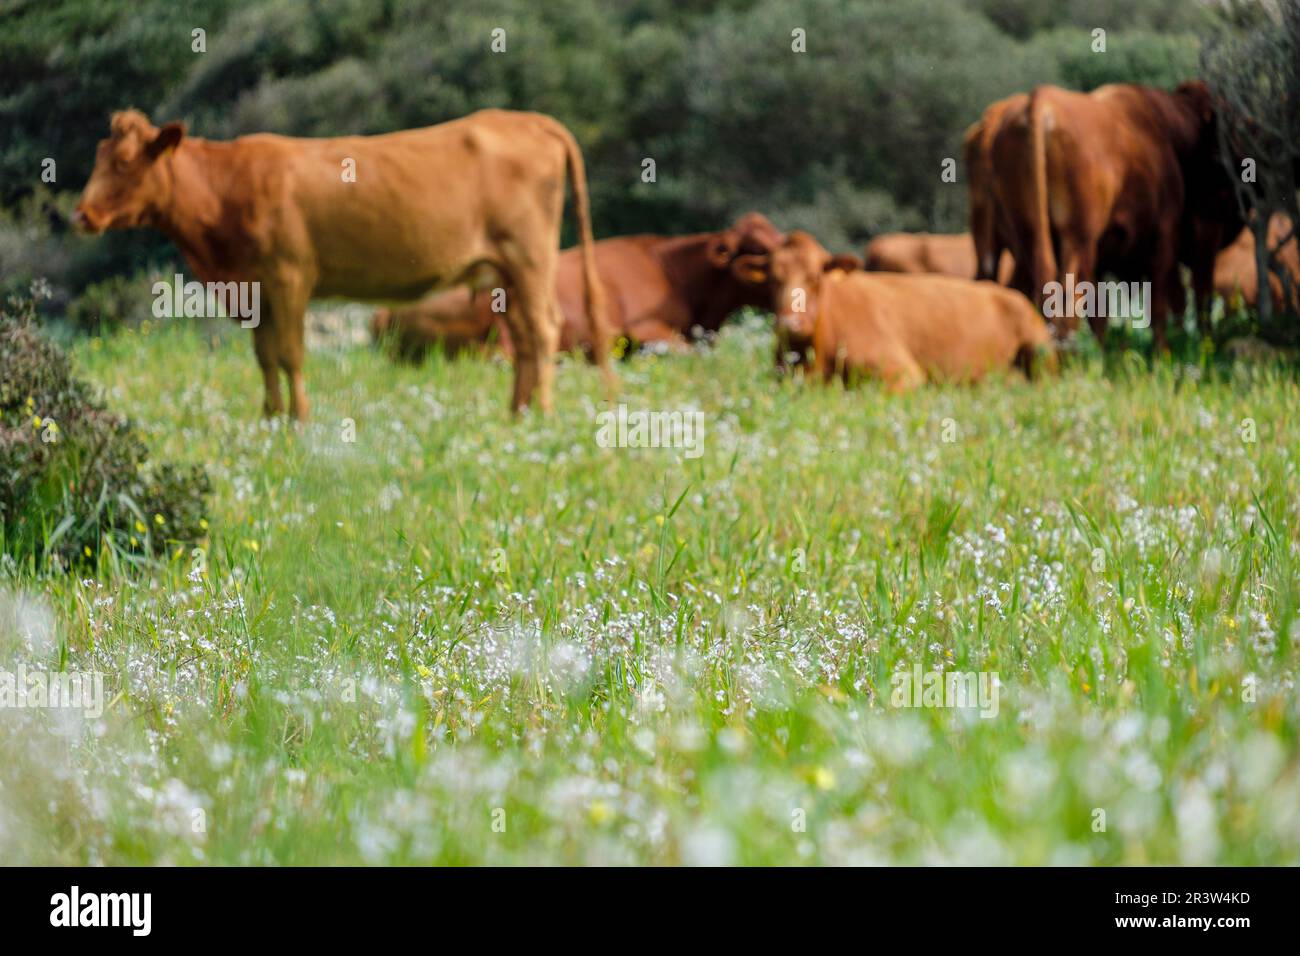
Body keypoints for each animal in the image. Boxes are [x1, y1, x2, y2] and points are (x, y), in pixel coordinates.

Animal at [72, 108, 614, 419]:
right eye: (99, 158)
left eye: (123, 163)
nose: (82, 214)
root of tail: (526, 118)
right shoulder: (252, 289)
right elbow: (264, 355)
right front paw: (270, 418)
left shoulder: (288, 276)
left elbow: (290, 353)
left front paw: (300, 420)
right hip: (504, 271)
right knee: (523, 337)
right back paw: (516, 412)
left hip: (530, 256)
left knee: (543, 329)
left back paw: (542, 414)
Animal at [987, 81, 1241, 350]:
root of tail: (1041, 100)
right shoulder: (1167, 236)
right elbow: (1167, 301)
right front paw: (1163, 352)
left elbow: (1102, 312)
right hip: (1078, 241)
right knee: (1068, 299)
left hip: (1029, 238)